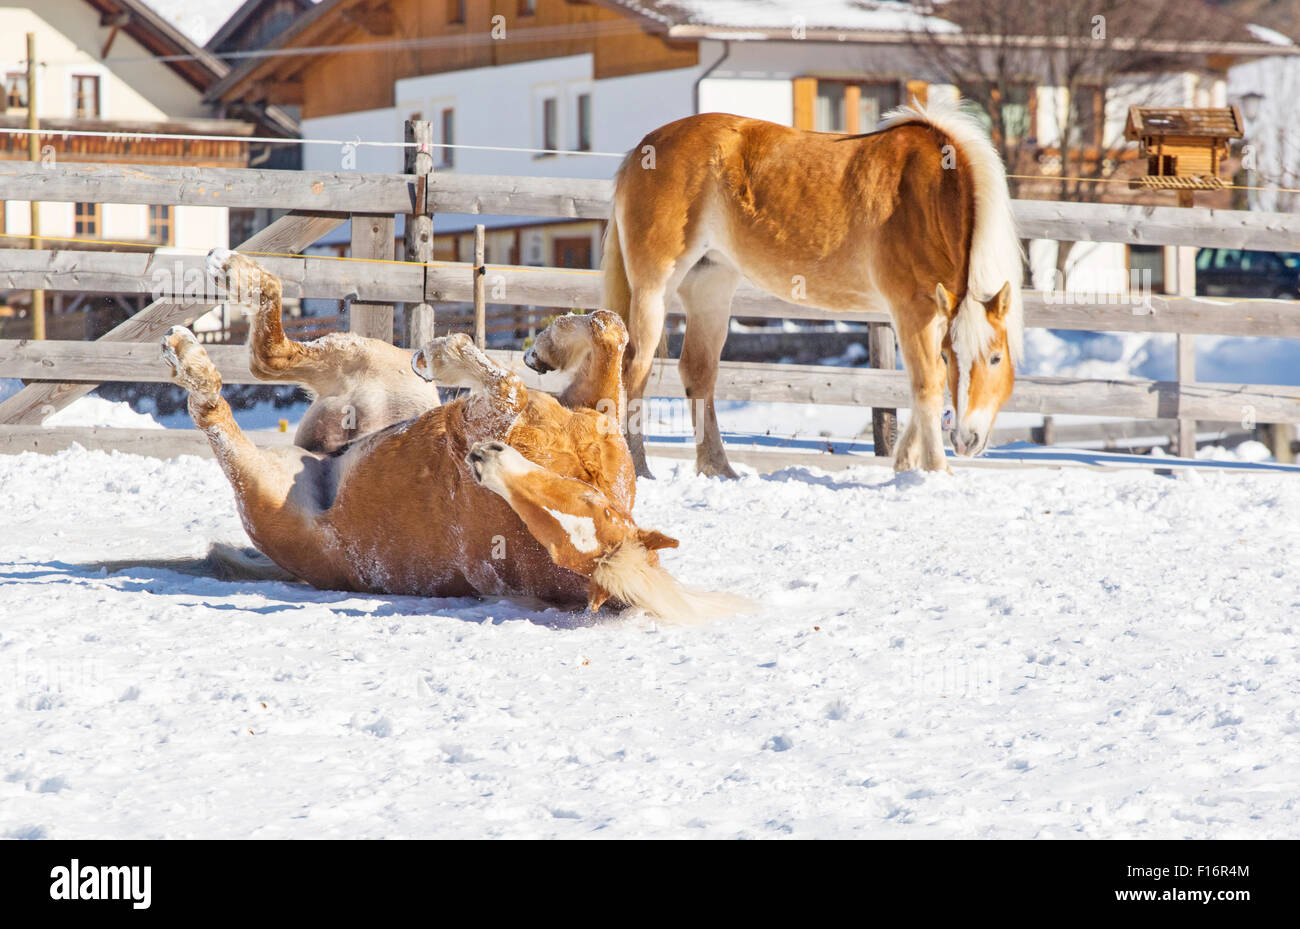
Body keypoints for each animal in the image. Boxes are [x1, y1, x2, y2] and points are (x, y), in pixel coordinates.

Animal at [162, 250, 740, 620]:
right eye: (586, 502)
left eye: (555, 531)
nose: (483, 459)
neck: (566, 461)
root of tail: (322, 456)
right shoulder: (589, 408)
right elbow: (608, 326)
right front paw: (545, 347)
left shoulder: (488, 418)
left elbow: (509, 386)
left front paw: (450, 354)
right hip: (374, 364)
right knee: (271, 354)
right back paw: (229, 272)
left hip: (264, 488)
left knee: (229, 394)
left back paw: (193, 358)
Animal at [602, 97, 1024, 477]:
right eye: (971, 358)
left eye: (995, 358)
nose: (967, 440)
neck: (929, 196)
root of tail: (643, 149)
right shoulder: (912, 310)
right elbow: (927, 387)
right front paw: (936, 471)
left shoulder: (935, 314)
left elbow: (925, 382)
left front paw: (905, 462)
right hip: (654, 289)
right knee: (634, 368)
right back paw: (640, 469)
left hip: (710, 284)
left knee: (699, 373)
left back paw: (719, 470)